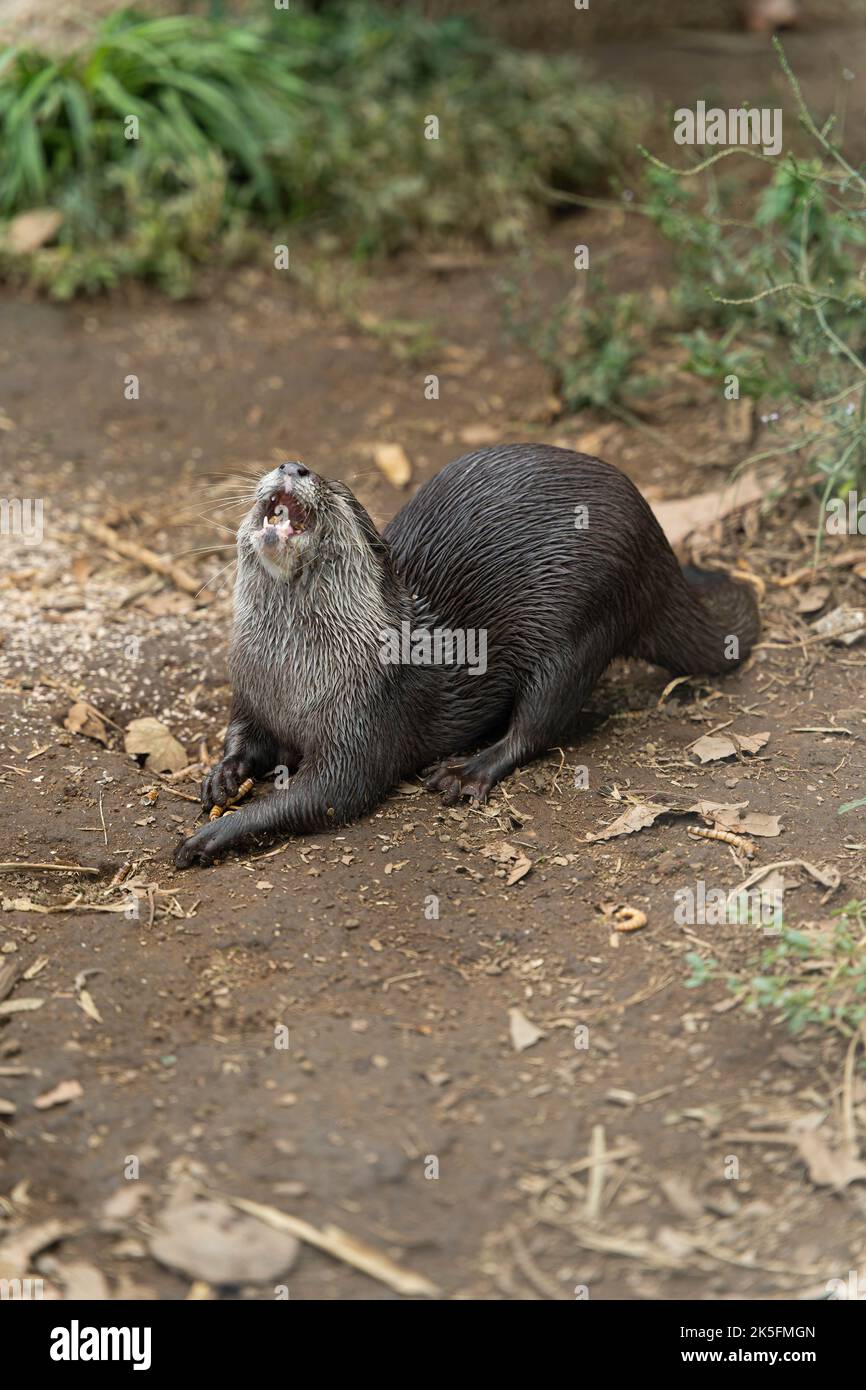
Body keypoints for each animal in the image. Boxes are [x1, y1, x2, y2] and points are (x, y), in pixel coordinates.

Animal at [175, 444, 759, 867]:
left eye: (341, 494)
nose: (292, 466)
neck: (291, 678)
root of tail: (657, 545)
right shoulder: (249, 694)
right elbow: (240, 737)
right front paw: (223, 775)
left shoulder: (364, 723)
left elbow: (328, 794)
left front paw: (213, 833)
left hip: (582, 625)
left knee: (539, 724)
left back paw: (466, 772)